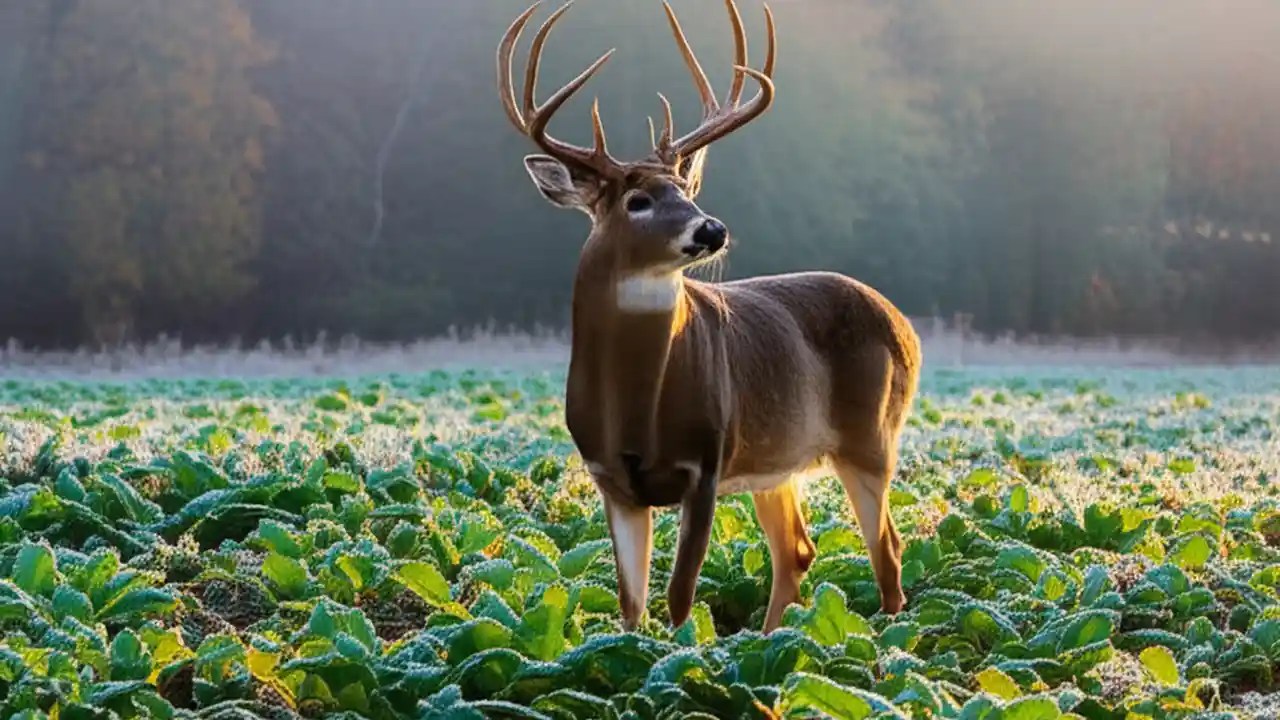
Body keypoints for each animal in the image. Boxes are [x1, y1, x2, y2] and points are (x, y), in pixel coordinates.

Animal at [497, 0, 921, 633]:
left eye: (687, 189)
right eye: (637, 200)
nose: (712, 228)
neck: (636, 409)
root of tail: (905, 326)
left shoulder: (706, 461)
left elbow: (678, 597)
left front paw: (684, 653)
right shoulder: (609, 477)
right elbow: (630, 605)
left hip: (871, 437)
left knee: (886, 550)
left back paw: (888, 642)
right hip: (780, 461)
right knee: (797, 550)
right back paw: (770, 643)